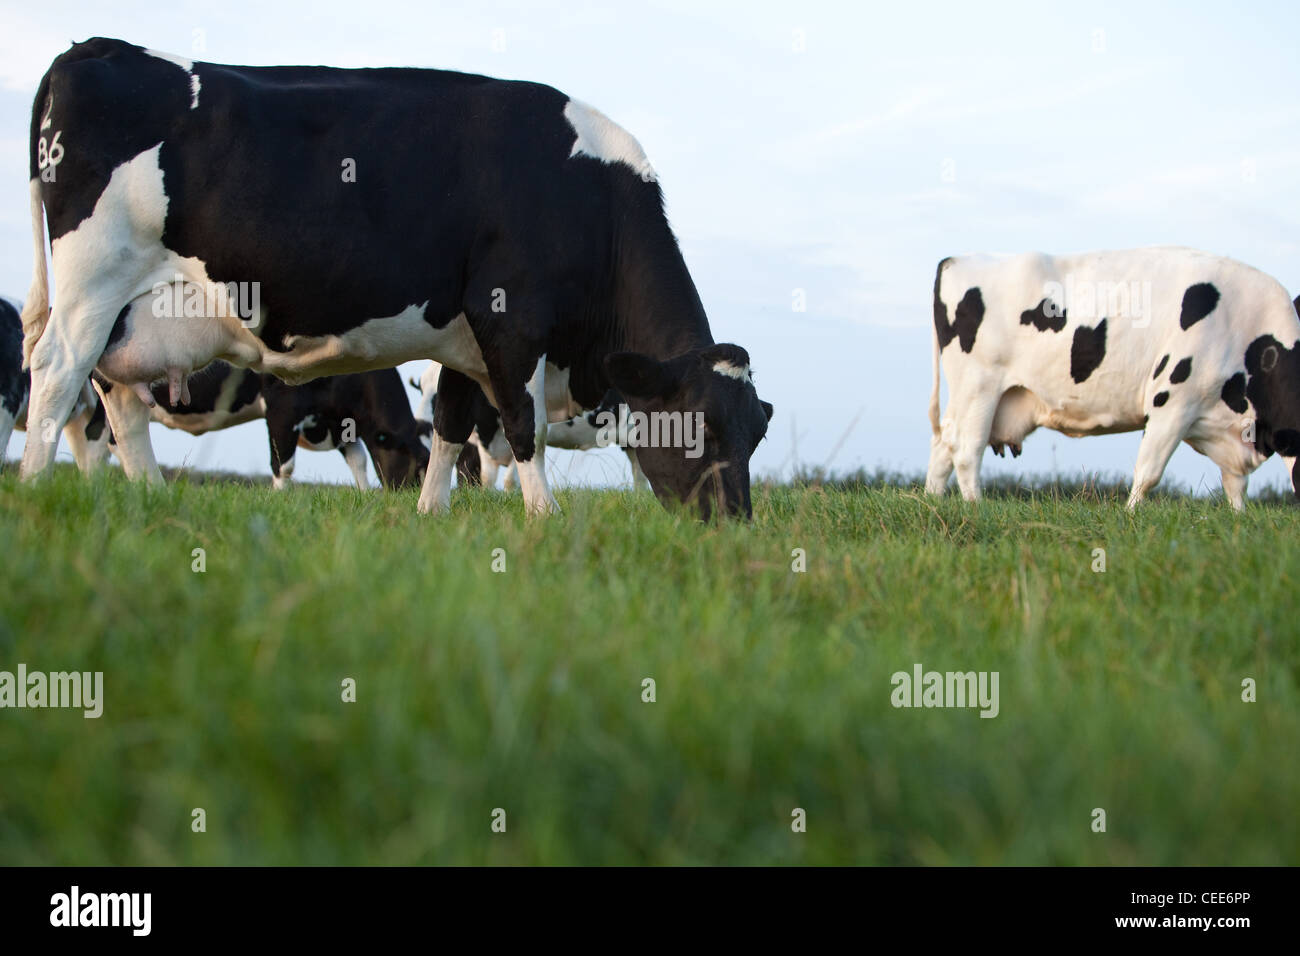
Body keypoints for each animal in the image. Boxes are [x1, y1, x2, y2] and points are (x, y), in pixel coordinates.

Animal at [19, 38, 773, 519]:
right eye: (700, 427)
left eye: (755, 432)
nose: (734, 524)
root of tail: (99, 47)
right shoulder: (511, 318)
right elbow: (521, 423)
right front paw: (545, 517)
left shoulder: (465, 341)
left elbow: (450, 427)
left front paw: (431, 513)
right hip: (93, 279)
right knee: (57, 373)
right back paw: (32, 488)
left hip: (134, 312)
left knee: (119, 395)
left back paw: (148, 495)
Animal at [926, 247, 1300, 509]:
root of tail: (955, 260)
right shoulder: (1173, 401)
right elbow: (1148, 472)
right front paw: (1130, 515)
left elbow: (1235, 486)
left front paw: (1239, 521)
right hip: (979, 385)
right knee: (966, 449)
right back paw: (976, 507)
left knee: (944, 446)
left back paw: (934, 502)